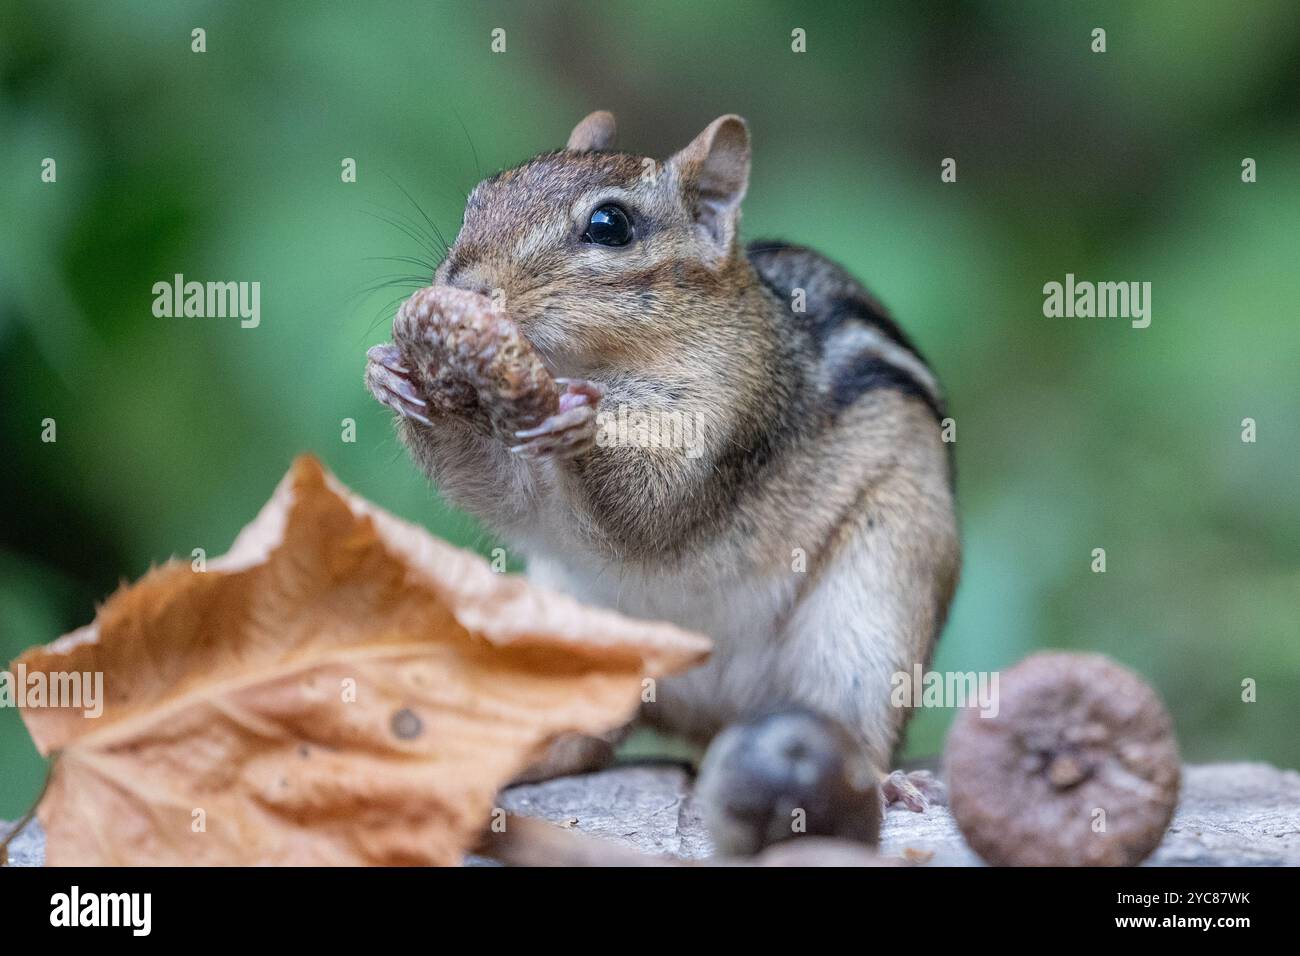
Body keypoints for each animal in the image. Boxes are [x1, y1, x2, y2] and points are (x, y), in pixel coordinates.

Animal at [365, 111, 961, 843]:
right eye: (478, 197)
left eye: (610, 225)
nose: (464, 289)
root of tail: (715, 719)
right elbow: (498, 494)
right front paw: (393, 374)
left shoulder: (731, 416)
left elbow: (655, 506)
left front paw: (579, 421)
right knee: (595, 741)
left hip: (874, 613)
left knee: (855, 723)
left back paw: (882, 778)